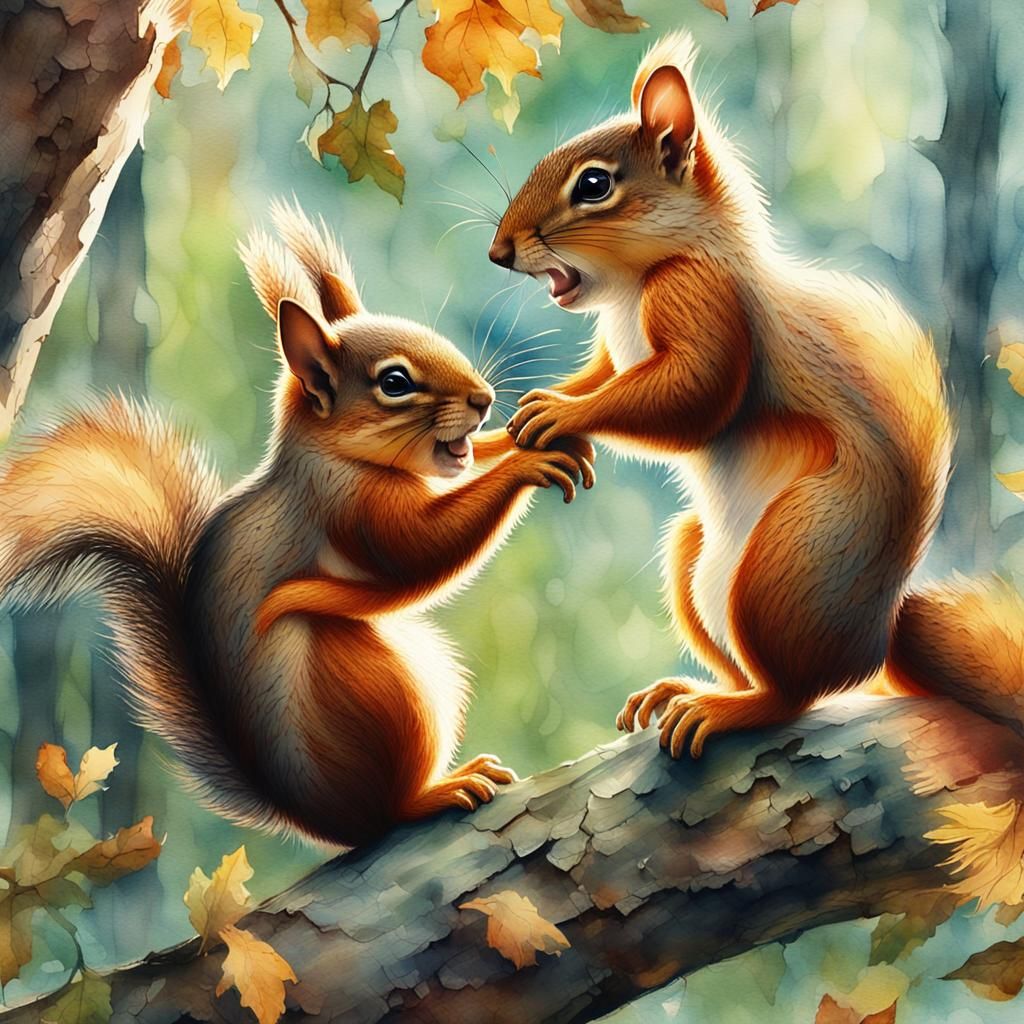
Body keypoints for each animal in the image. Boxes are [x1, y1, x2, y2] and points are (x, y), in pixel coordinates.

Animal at [0, 201, 596, 847]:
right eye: (394, 383)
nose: (485, 399)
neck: (330, 452)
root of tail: (321, 822)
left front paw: (524, 430)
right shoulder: (345, 505)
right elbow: (422, 549)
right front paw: (525, 465)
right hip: (378, 691)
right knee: (391, 809)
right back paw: (434, 793)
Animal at [485, 32, 1024, 757]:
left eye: (594, 185)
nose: (499, 251)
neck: (635, 286)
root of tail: (872, 643)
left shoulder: (708, 305)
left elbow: (692, 400)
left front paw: (562, 412)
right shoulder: (611, 351)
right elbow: (600, 376)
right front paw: (512, 420)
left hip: (787, 563)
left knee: (795, 694)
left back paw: (731, 709)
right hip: (696, 558)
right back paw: (685, 691)